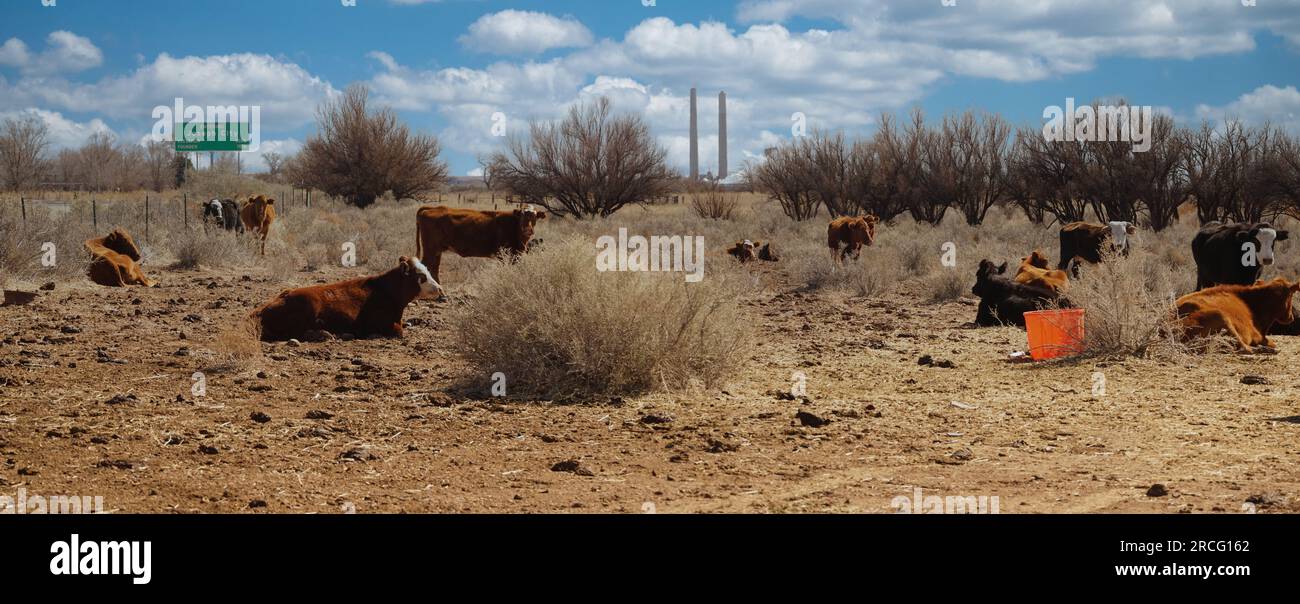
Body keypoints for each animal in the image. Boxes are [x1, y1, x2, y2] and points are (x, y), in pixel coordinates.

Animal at [414, 205, 545, 282]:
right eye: (522, 216)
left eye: (535, 216)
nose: (527, 230)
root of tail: (433, 208)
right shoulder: (502, 255)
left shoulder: (516, 255)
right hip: (430, 249)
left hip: (437, 251)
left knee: (434, 268)